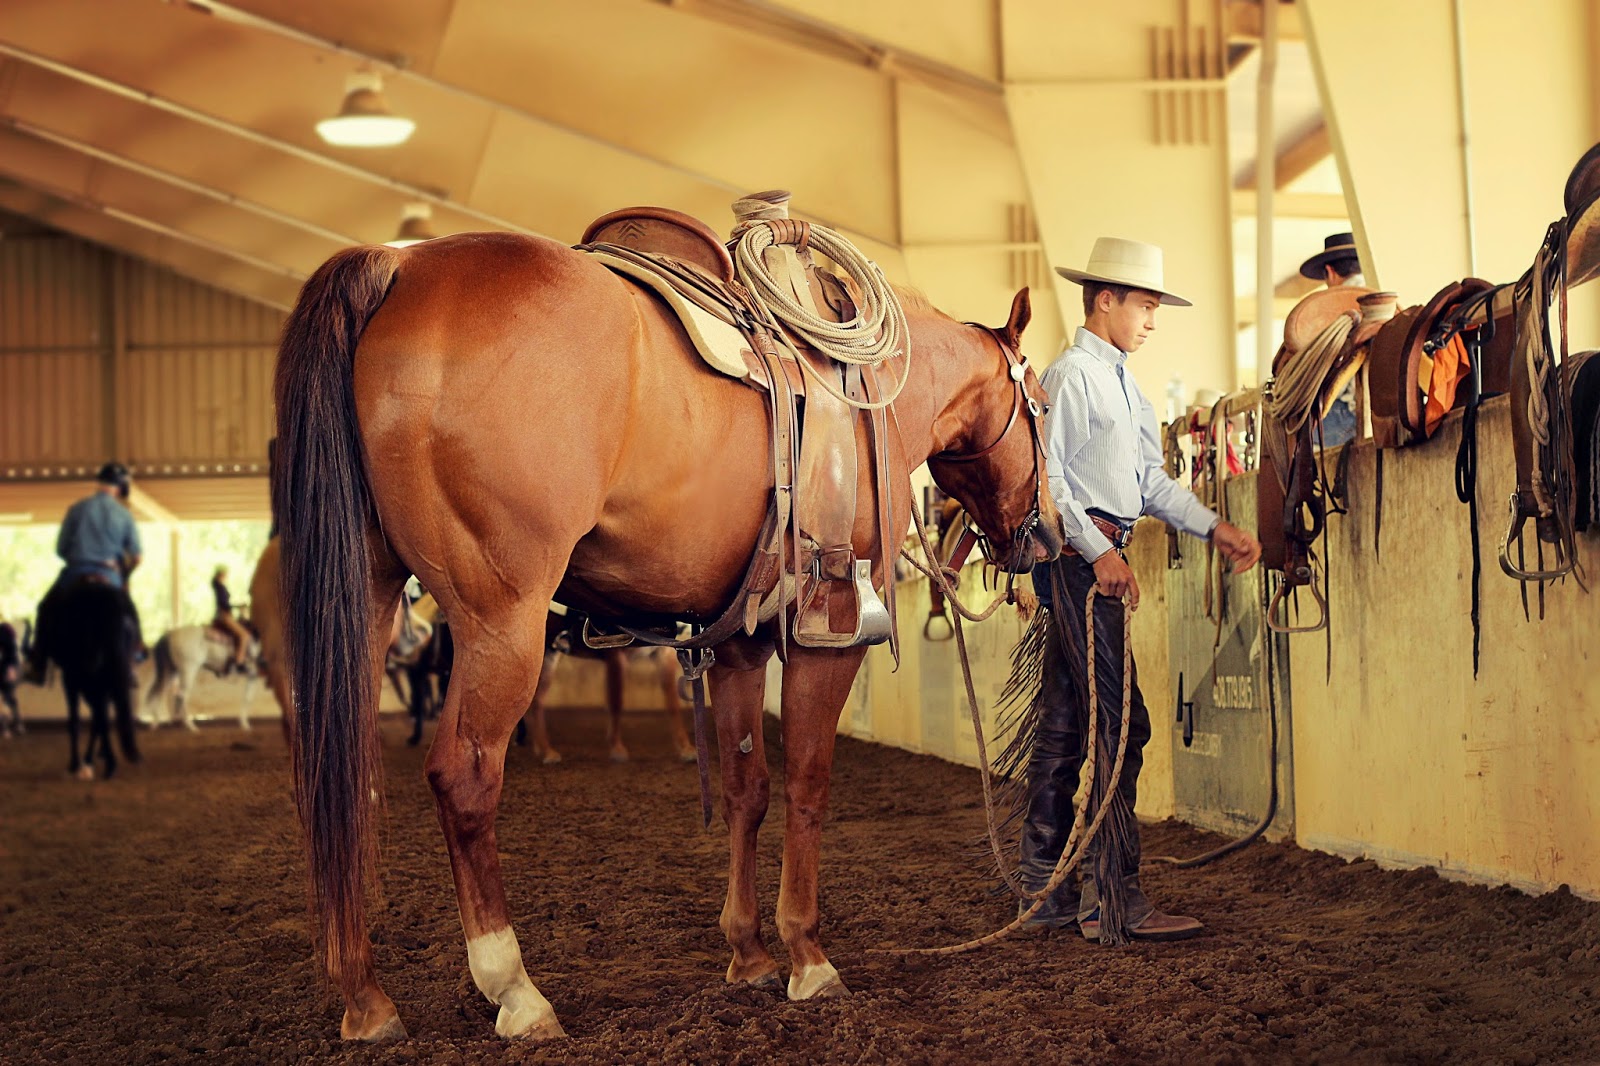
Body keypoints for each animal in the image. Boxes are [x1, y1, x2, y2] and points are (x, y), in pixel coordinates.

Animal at [274, 231, 1060, 1042]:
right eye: (1046, 403)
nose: (1050, 534)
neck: (881, 399)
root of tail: (400, 263)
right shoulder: (829, 638)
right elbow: (808, 784)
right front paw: (808, 956)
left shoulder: (742, 646)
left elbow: (749, 788)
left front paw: (749, 952)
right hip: (501, 622)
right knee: (463, 776)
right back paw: (515, 991)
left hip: (368, 598)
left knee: (340, 772)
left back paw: (365, 997)